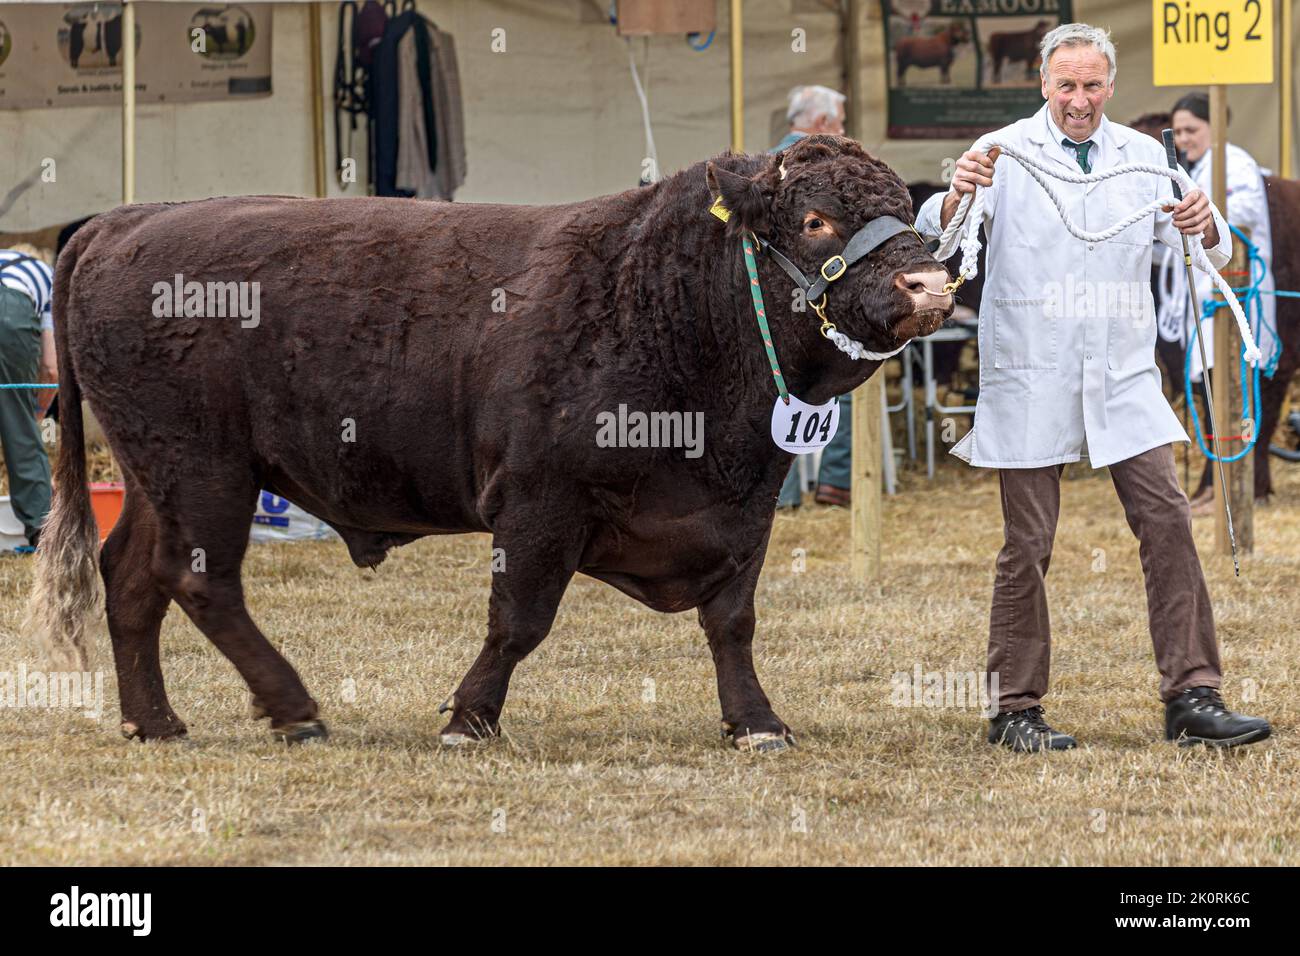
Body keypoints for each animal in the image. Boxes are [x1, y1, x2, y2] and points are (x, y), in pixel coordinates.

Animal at [32, 135, 953, 752]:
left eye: (906, 210)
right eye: (816, 219)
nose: (931, 283)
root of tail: (121, 221)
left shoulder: (747, 506)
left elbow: (733, 619)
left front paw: (755, 722)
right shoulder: (540, 500)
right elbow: (520, 621)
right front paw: (471, 718)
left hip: (158, 475)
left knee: (132, 578)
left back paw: (155, 721)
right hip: (203, 470)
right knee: (201, 582)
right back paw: (293, 708)